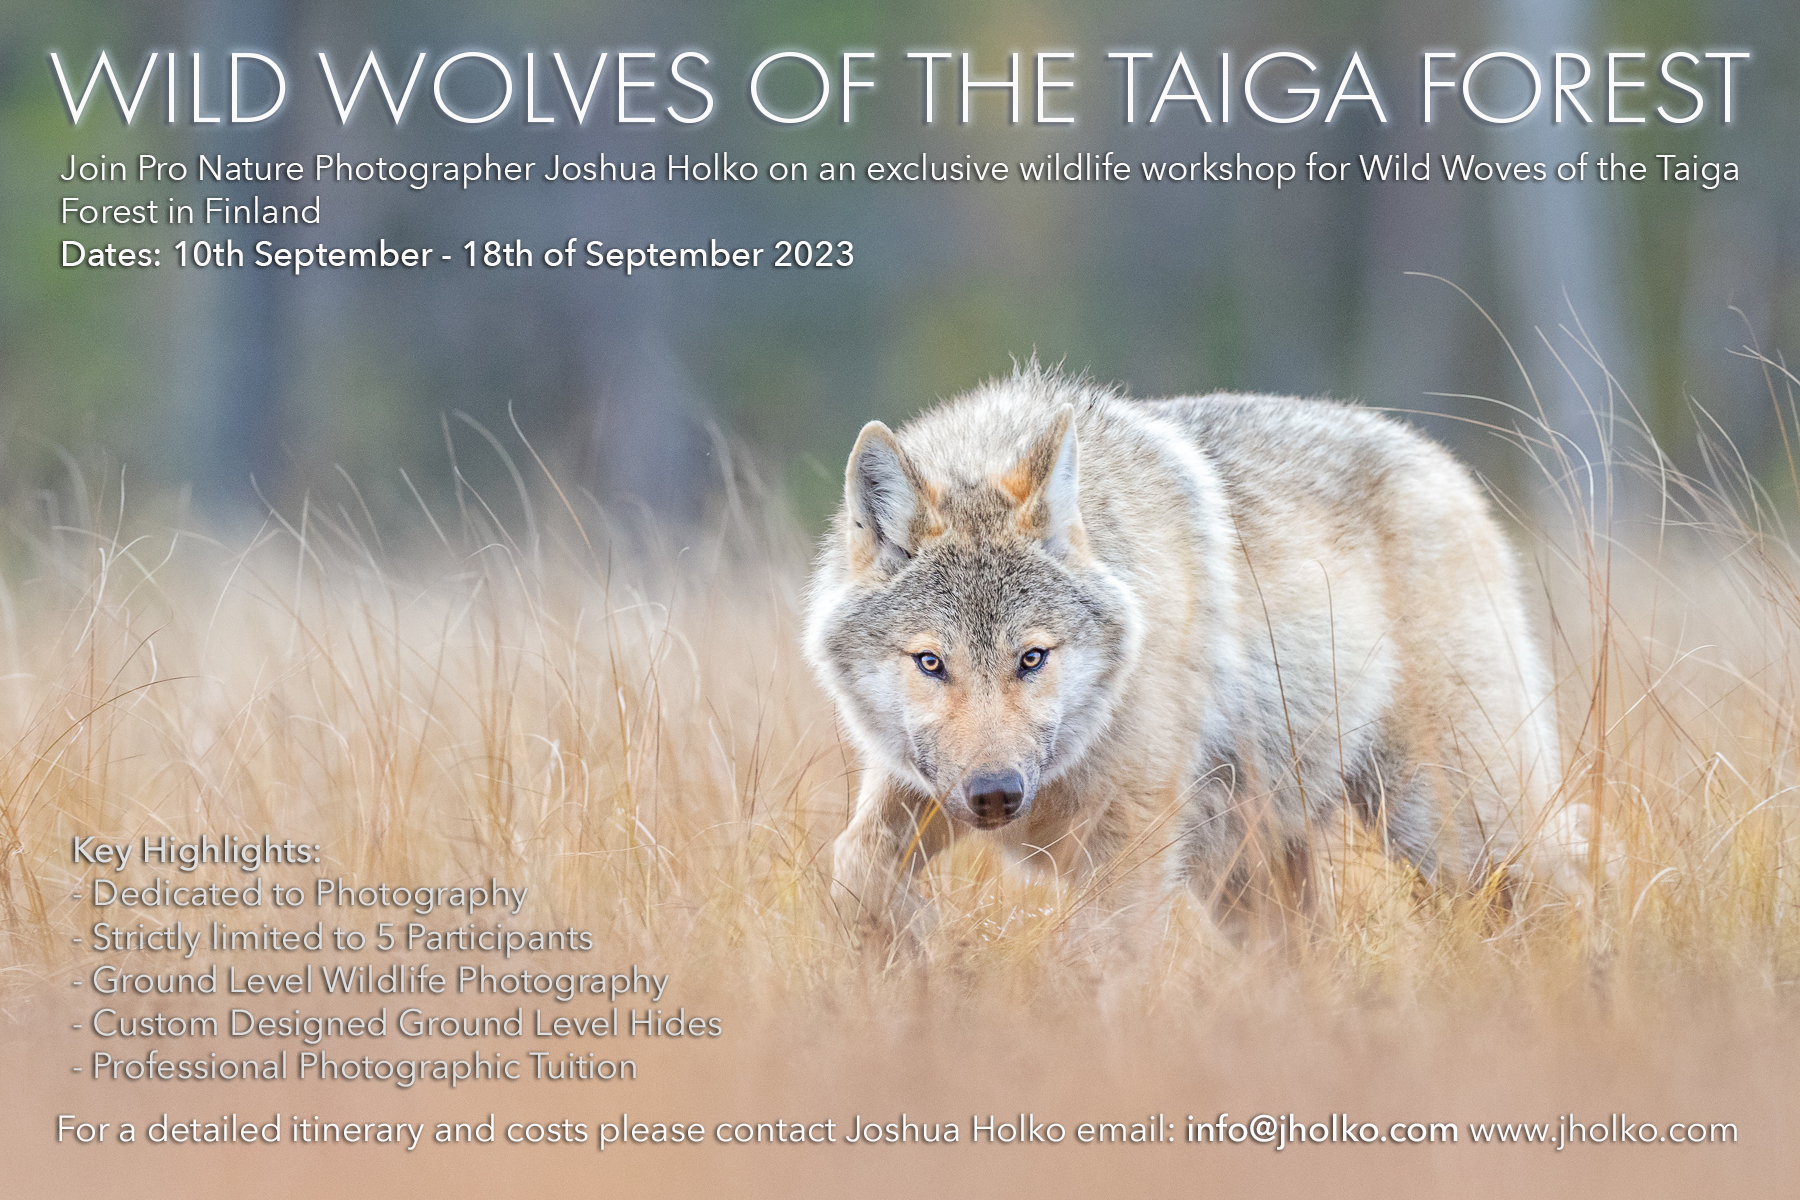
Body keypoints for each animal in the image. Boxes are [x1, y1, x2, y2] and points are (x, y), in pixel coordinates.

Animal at [805, 365, 1588, 945]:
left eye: (1031, 658)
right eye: (930, 663)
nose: (997, 794)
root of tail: (1444, 464)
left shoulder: (1131, 841)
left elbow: (1091, 970)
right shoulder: (917, 784)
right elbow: (852, 868)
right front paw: (918, 944)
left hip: (1453, 830)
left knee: (1565, 892)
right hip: (1251, 879)